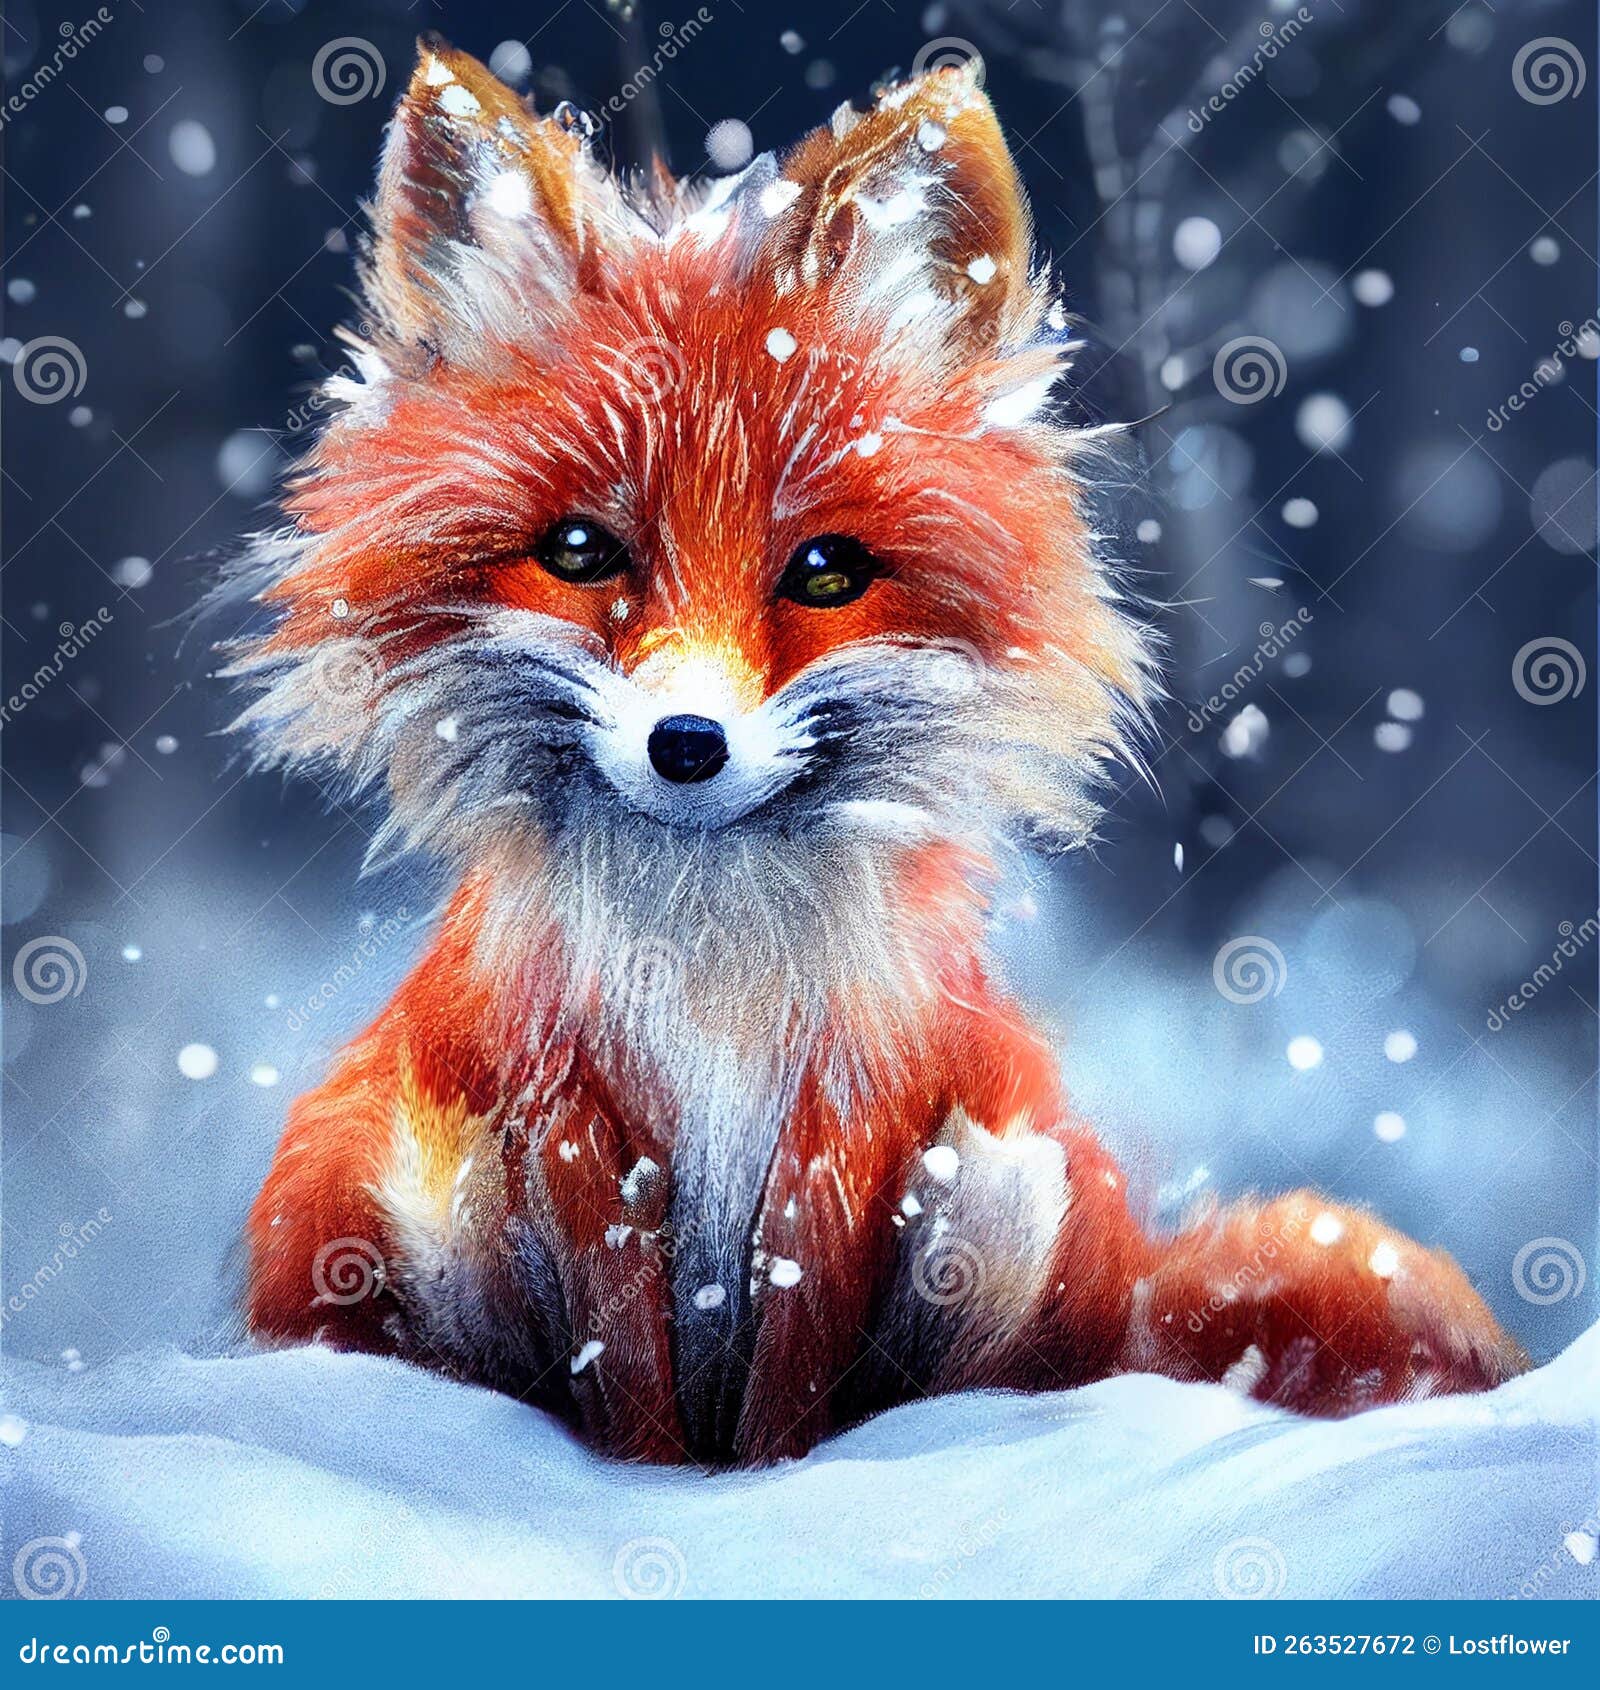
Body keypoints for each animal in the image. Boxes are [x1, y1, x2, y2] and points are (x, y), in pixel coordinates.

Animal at [228, 38, 1524, 1466]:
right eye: (579, 551)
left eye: (826, 571)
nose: (688, 744)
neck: (712, 977)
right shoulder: (569, 1129)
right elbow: (627, 1377)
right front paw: (648, 1487)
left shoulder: (851, 1128)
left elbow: (793, 1367)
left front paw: (776, 1483)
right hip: (423, 1168)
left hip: (995, 1186)